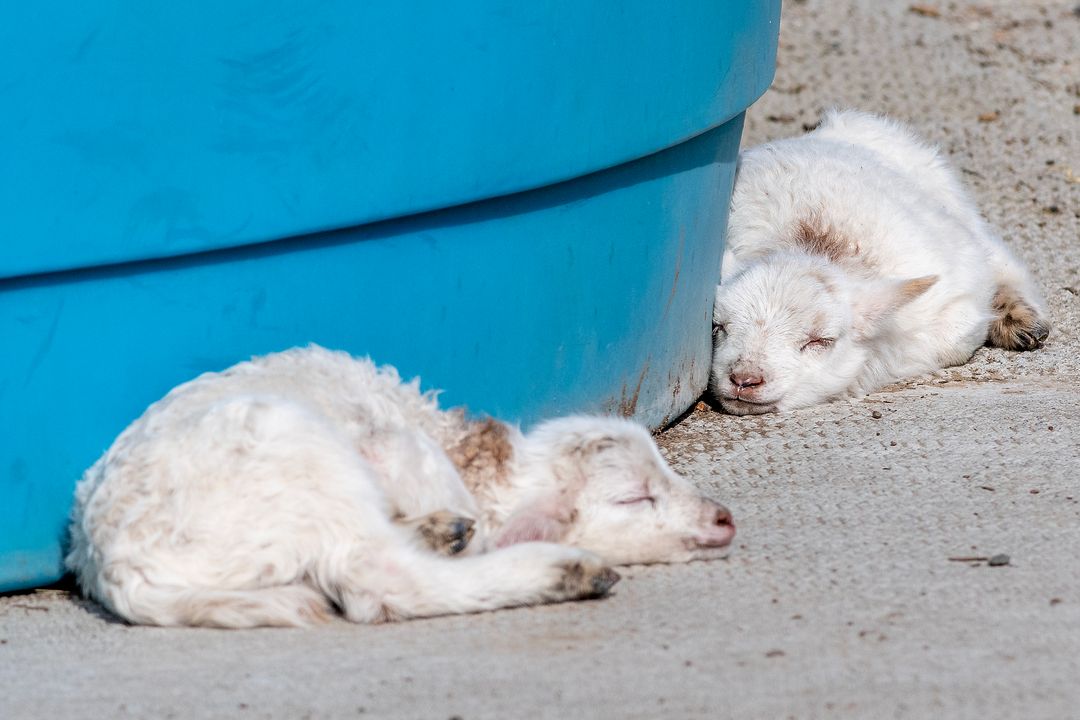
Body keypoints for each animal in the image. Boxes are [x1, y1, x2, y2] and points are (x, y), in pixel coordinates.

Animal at [66, 345, 735, 628]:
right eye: (633, 498)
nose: (724, 519)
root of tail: (113, 565)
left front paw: (445, 526)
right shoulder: (393, 447)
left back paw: (439, 533)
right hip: (302, 457)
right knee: (384, 584)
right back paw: (564, 571)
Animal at [710, 109, 1049, 415]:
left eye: (821, 341)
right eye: (718, 327)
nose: (744, 379)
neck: (812, 246)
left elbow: (956, 336)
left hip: (952, 201)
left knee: (998, 257)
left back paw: (1023, 319)